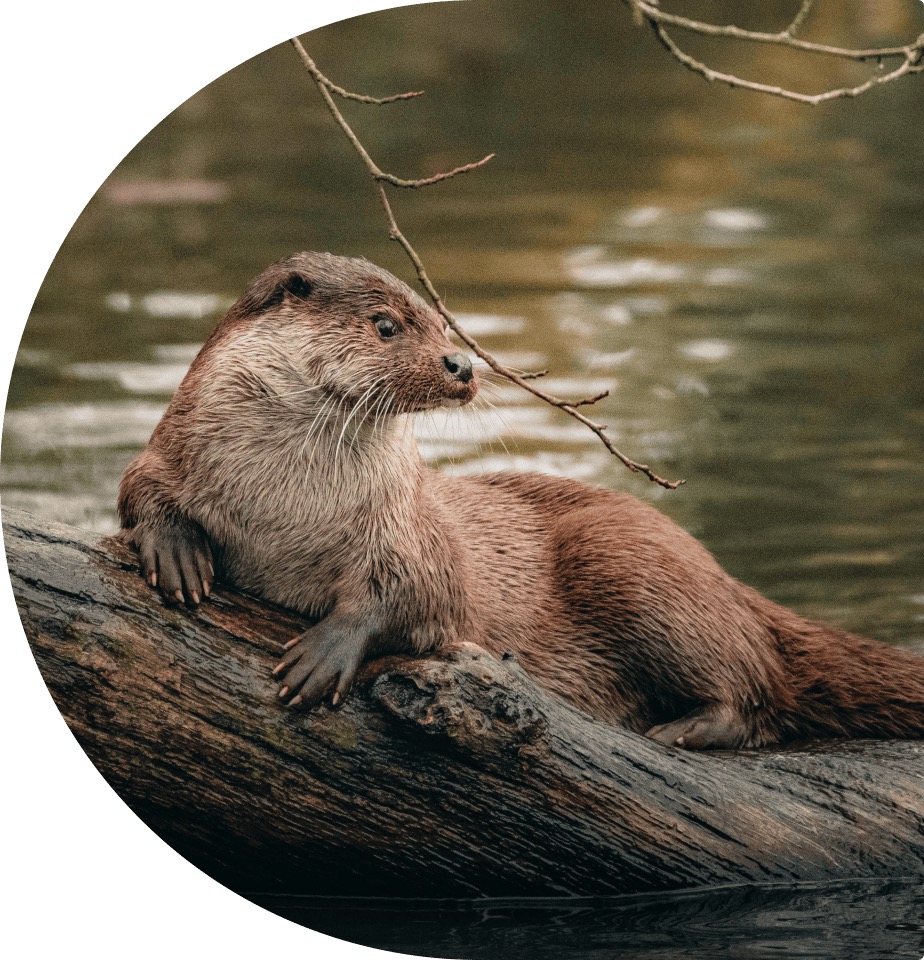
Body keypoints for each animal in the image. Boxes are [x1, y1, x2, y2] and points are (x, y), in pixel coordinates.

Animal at [119, 251, 924, 748]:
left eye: (442, 323)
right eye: (388, 325)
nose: (461, 363)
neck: (285, 508)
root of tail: (726, 579)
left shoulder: (411, 529)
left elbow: (417, 594)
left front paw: (326, 649)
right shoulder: (171, 450)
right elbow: (138, 487)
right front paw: (176, 549)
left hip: (636, 565)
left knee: (759, 689)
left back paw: (688, 729)